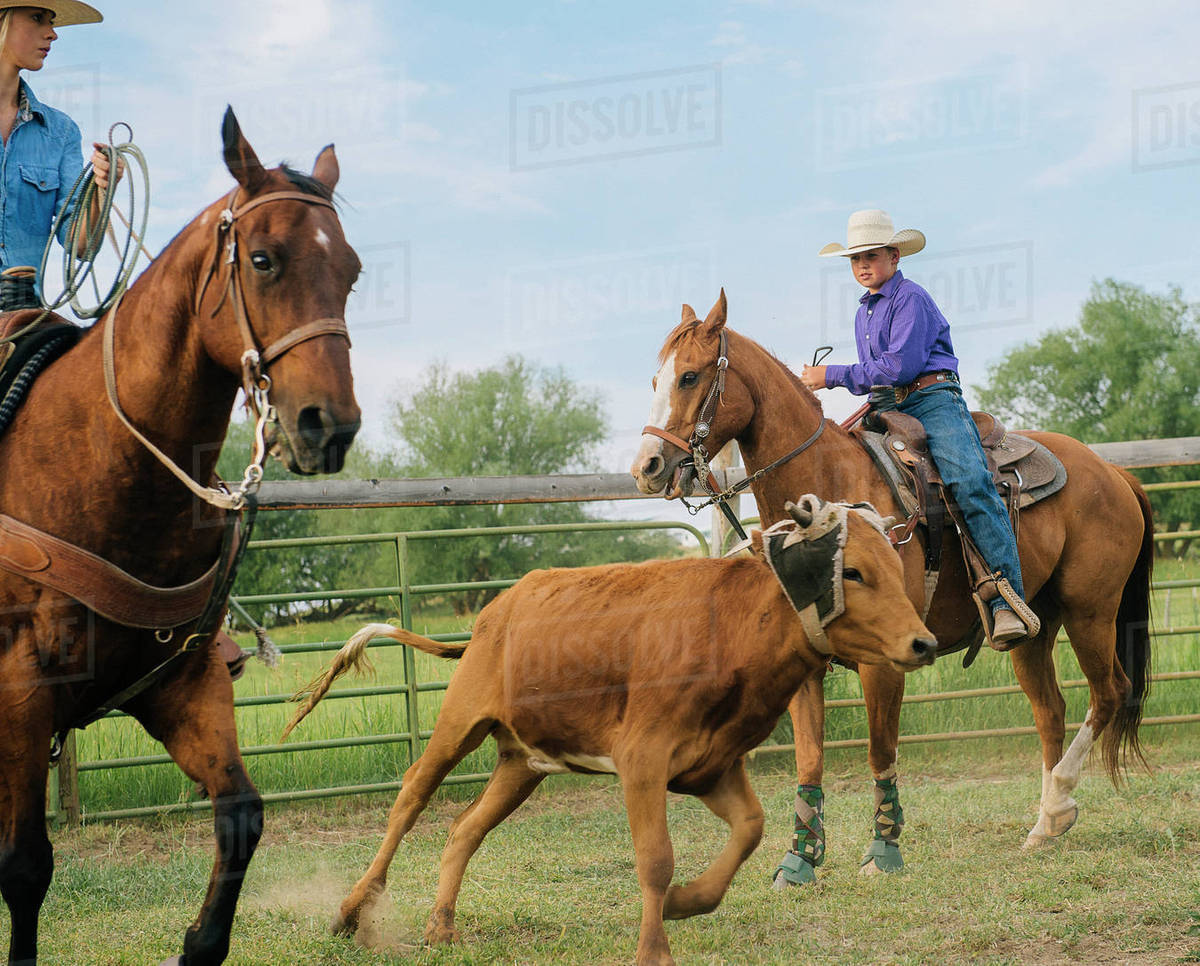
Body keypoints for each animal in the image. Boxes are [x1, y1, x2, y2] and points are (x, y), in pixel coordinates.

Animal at [282, 495, 937, 966]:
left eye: (892, 568)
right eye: (854, 572)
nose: (924, 642)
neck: (728, 624)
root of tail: (494, 612)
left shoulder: (712, 765)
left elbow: (749, 830)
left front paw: (684, 903)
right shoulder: (642, 761)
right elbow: (655, 858)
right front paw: (654, 949)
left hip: (523, 762)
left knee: (465, 828)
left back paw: (441, 927)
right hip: (459, 722)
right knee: (412, 797)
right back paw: (350, 911)